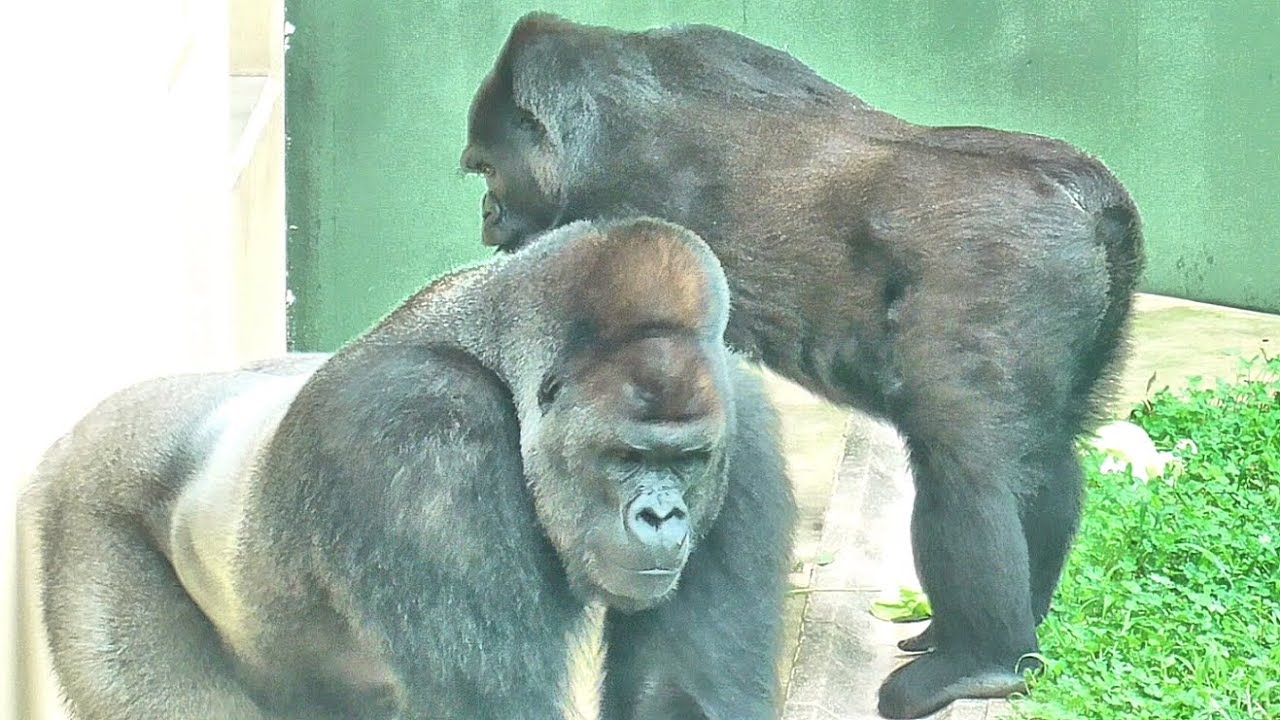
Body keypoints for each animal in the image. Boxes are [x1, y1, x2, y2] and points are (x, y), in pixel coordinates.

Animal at [21, 218, 796, 720]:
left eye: (685, 462)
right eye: (623, 457)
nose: (662, 516)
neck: (495, 355)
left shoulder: (741, 425)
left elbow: (678, 693)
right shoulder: (424, 433)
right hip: (86, 515)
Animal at [460, 14, 1145, 719]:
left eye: (488, 168)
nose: (487, 214)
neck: (595, 118)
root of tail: (1085, 195)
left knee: (967, 471)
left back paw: (981, 663)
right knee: (1046, 456)